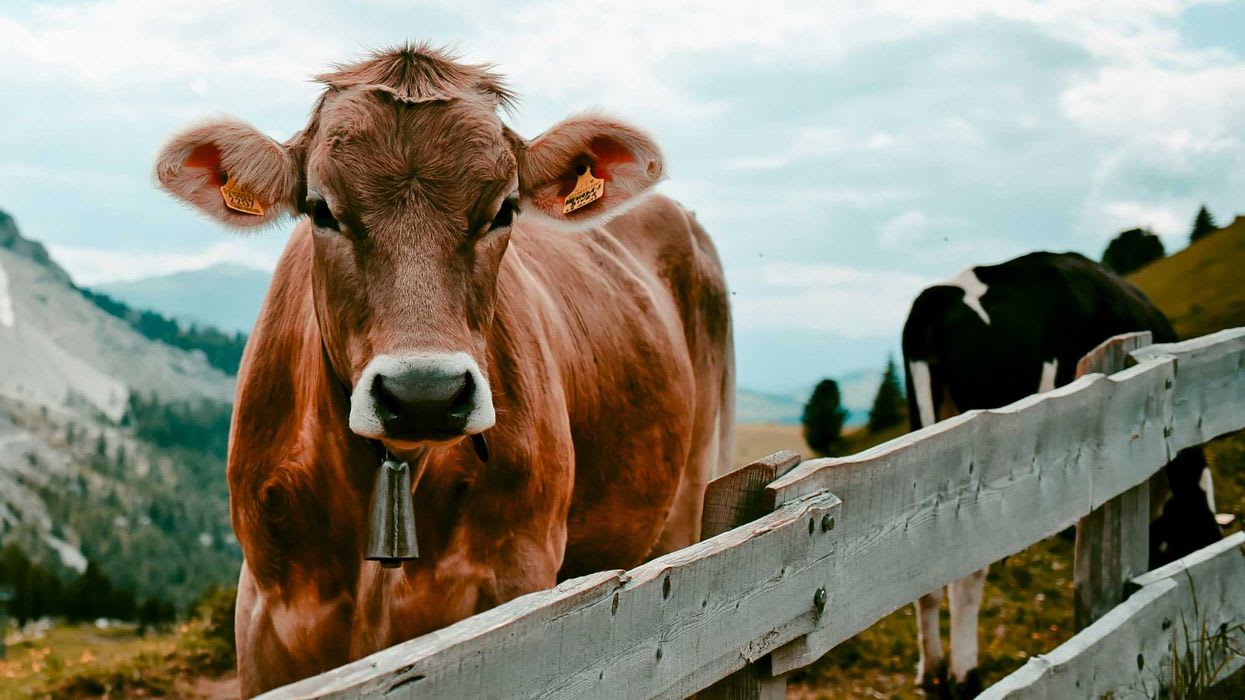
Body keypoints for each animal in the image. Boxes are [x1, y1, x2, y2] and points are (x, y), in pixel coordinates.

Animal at [900, 251, 1221, 698]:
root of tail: (938, 296)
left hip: (927, 421)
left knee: (927, 582)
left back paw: (931, 671)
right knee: (965, 572)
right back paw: (965, 675)